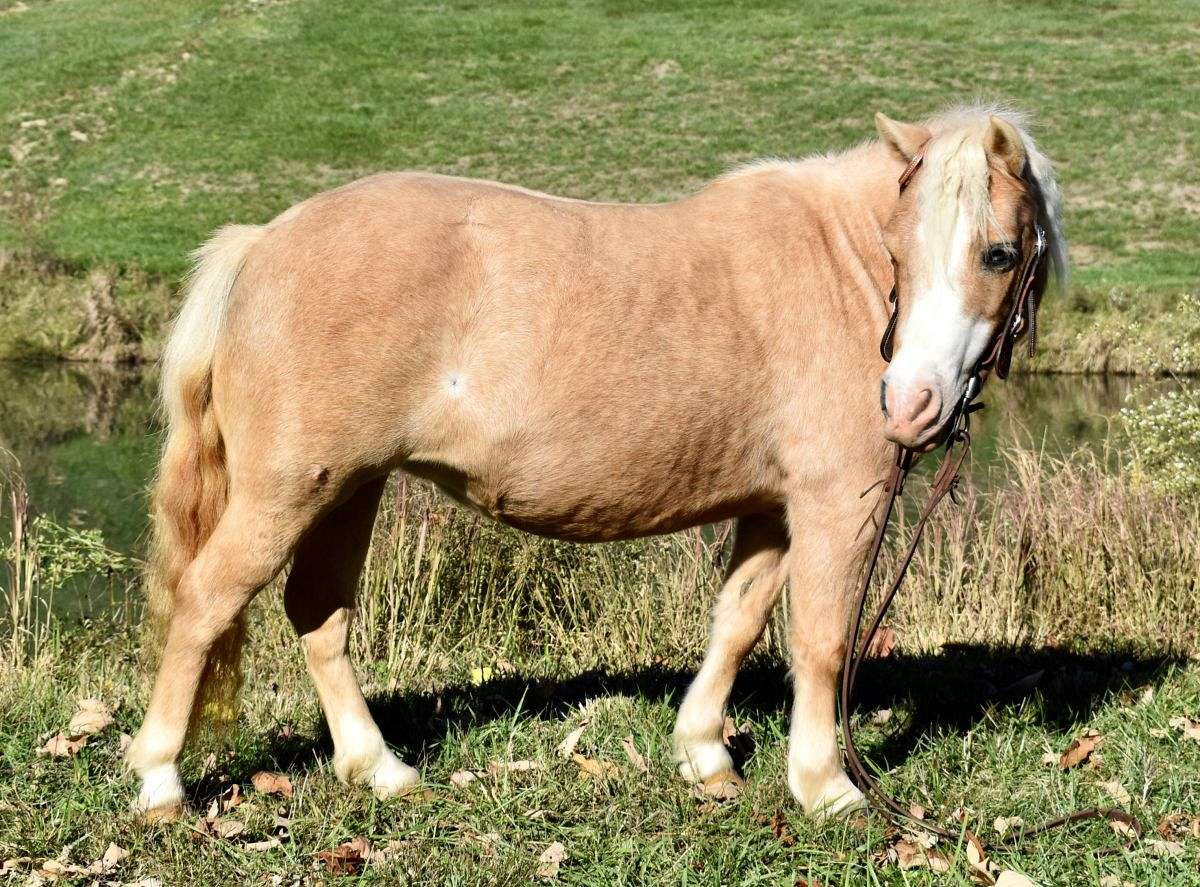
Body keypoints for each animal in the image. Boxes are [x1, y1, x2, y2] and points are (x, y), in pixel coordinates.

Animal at [126, 105, 1064, 821]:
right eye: (897, 249)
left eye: (998, 253)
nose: (909, 403)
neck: (844, 274)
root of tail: (263, 242)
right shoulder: (839, 501)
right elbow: (823, 641)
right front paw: (826, 785)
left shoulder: (775, 505)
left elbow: (738, 618)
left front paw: (704, 751)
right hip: (285, 492)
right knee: (206, 601)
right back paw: (160, 778)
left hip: (349, 487)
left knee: (319, 614)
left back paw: (378, 766)